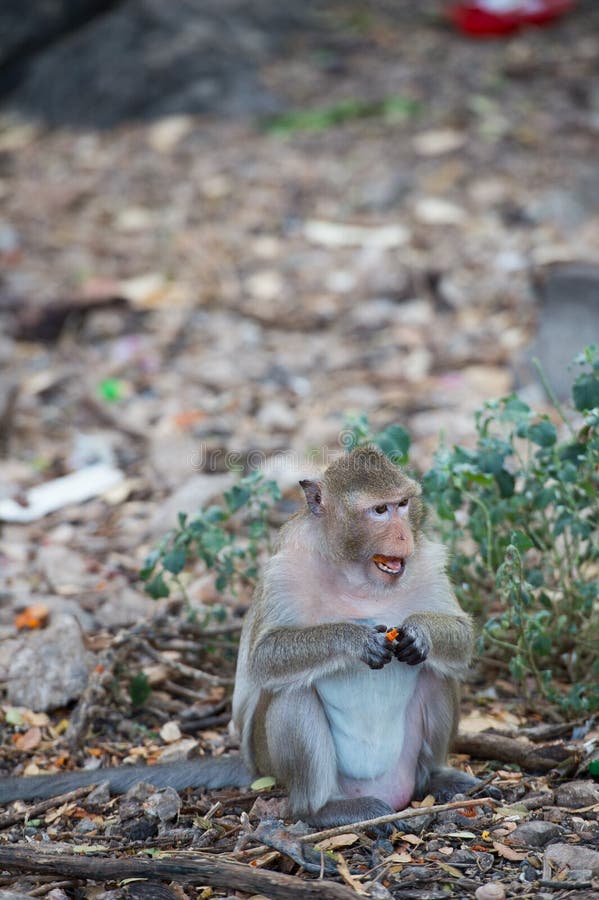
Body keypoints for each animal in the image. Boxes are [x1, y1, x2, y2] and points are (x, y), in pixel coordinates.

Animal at [0, 447, 478, 825]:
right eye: (379, 511)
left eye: (403, 504)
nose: (401, 534)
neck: (357, 576)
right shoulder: (285, 569)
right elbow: (264, 657)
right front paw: (353, 640)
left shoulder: (426, 559)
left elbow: (461, 636)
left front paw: (419, 633)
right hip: (269, 760)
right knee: (292, 696)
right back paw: (321, 809)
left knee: (437, 675)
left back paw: (436, 776)